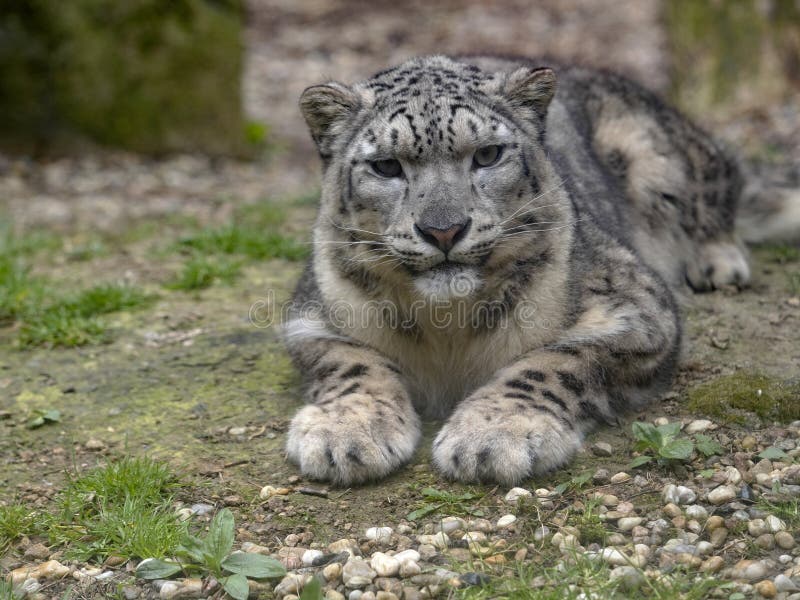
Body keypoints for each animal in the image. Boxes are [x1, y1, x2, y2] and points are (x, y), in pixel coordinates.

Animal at [282, 54, 800, 486]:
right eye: (386, 166)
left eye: (488, 154)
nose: (444, 230)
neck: (447, 330)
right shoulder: (312, 316)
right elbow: (354, 362)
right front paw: (344, 431)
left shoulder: (638, 310)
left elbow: (555, 360)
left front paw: (494, 434)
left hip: (665, 157)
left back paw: (717, 262)